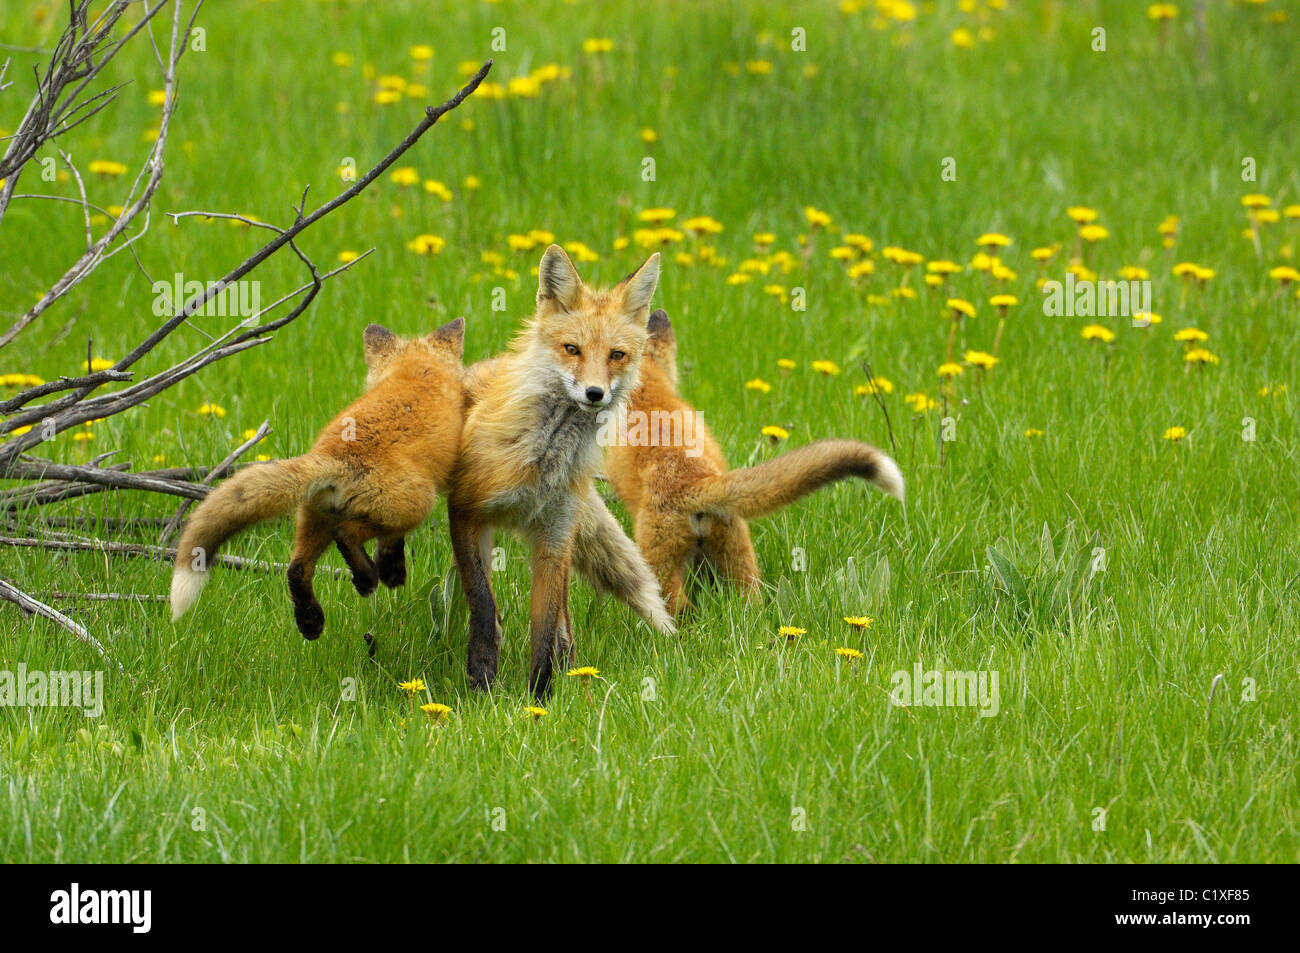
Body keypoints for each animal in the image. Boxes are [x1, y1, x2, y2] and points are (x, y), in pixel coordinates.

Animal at [169, 318, 466, 638]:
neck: (416, 370)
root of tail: (332, 455)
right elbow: (390, 541)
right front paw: (390, 572)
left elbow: (390, 546)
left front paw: (393, 571)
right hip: (409, 507)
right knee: (346, 534)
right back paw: (366, 579)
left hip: (314, 519)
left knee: (297, 567)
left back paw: (311, 620)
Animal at [449, 244, 675, 700]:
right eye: (572, 349)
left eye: (616, 355)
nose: (594, 393)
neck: (543, 463)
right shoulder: (463, 511)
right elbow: (482, 604)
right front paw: (482, 679)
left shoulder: (554, 538)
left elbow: (544, 630)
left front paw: (539, 700)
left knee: (564, 621)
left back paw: (572, 669)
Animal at [602, 309, 904, 616]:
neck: (647, 391)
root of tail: (695, 481)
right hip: (737, 554)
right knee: (748, 601)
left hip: (663, 564)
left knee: (678, 608)